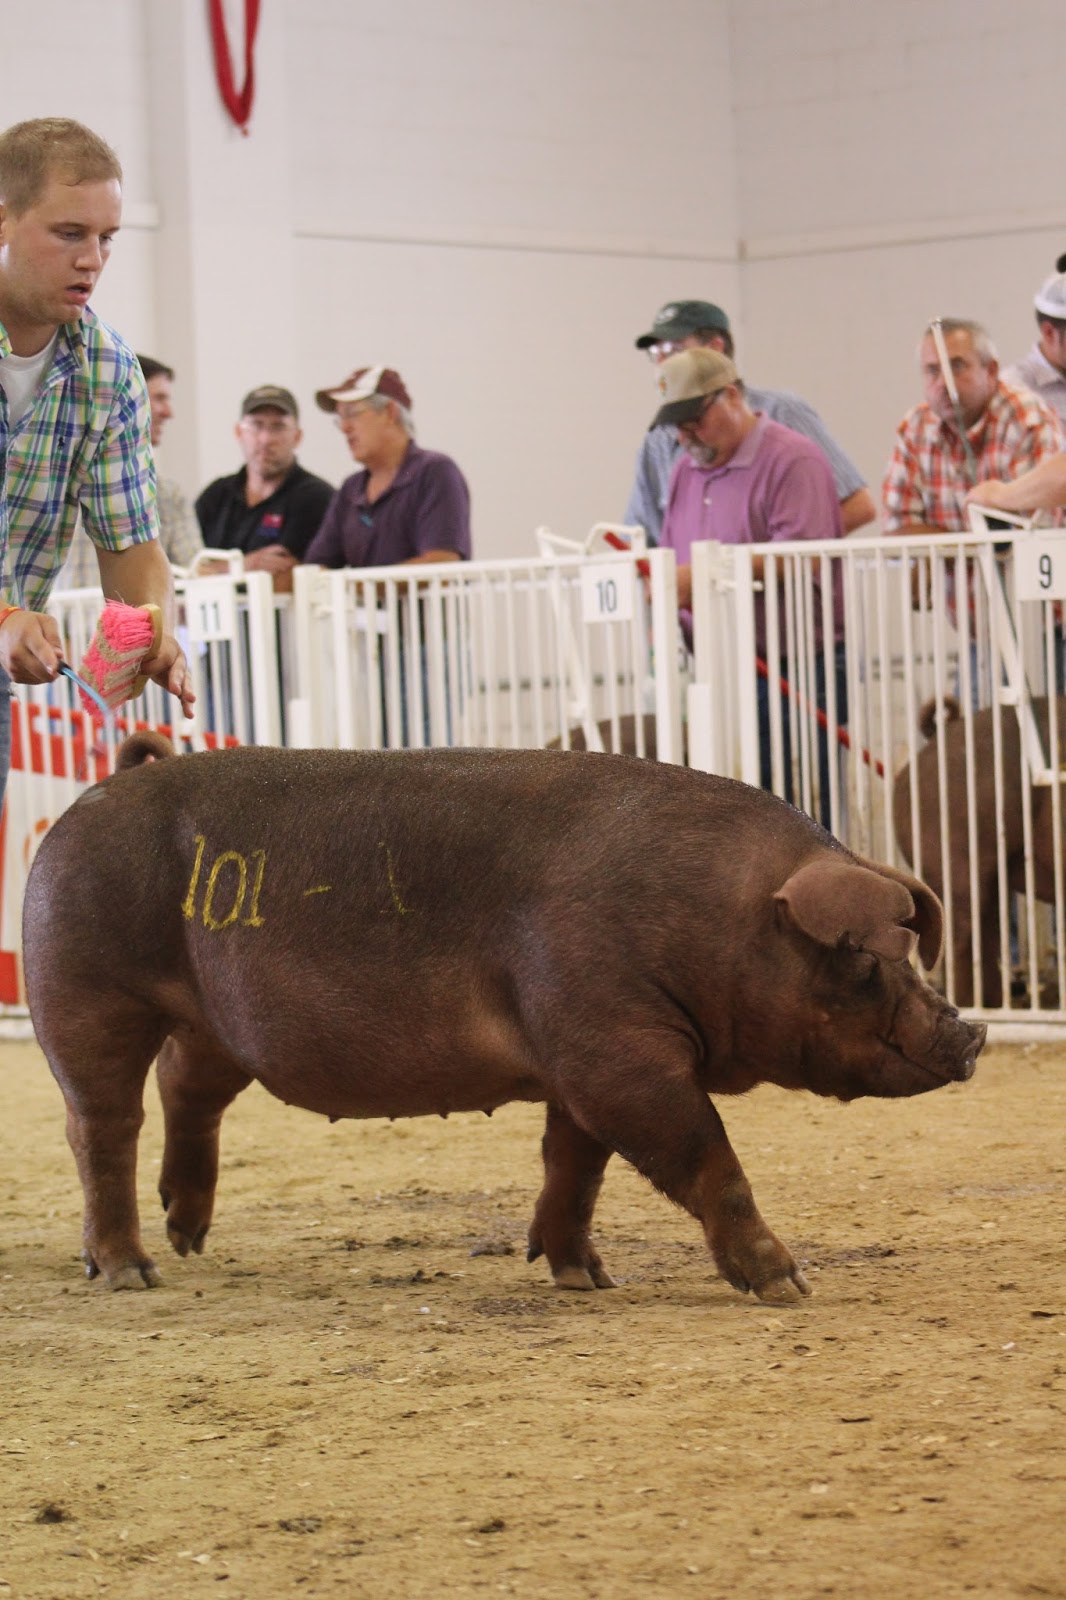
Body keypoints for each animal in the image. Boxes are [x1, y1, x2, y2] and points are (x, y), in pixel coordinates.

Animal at [23, 734, 984, 1305]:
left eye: (910, 953)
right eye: (861, 960)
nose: (971, 1031)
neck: (715, 917)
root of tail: (100, 789)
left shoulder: (580, 1058)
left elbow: (575, 1166)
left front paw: (584, 1278)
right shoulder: (617, 1047)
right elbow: (708, 1157)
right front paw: (789, 1284)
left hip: (213, 1019)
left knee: (187, 1088)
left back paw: (188, 1238)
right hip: (84, 988)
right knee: (100, 1125)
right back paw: (132, 1272)